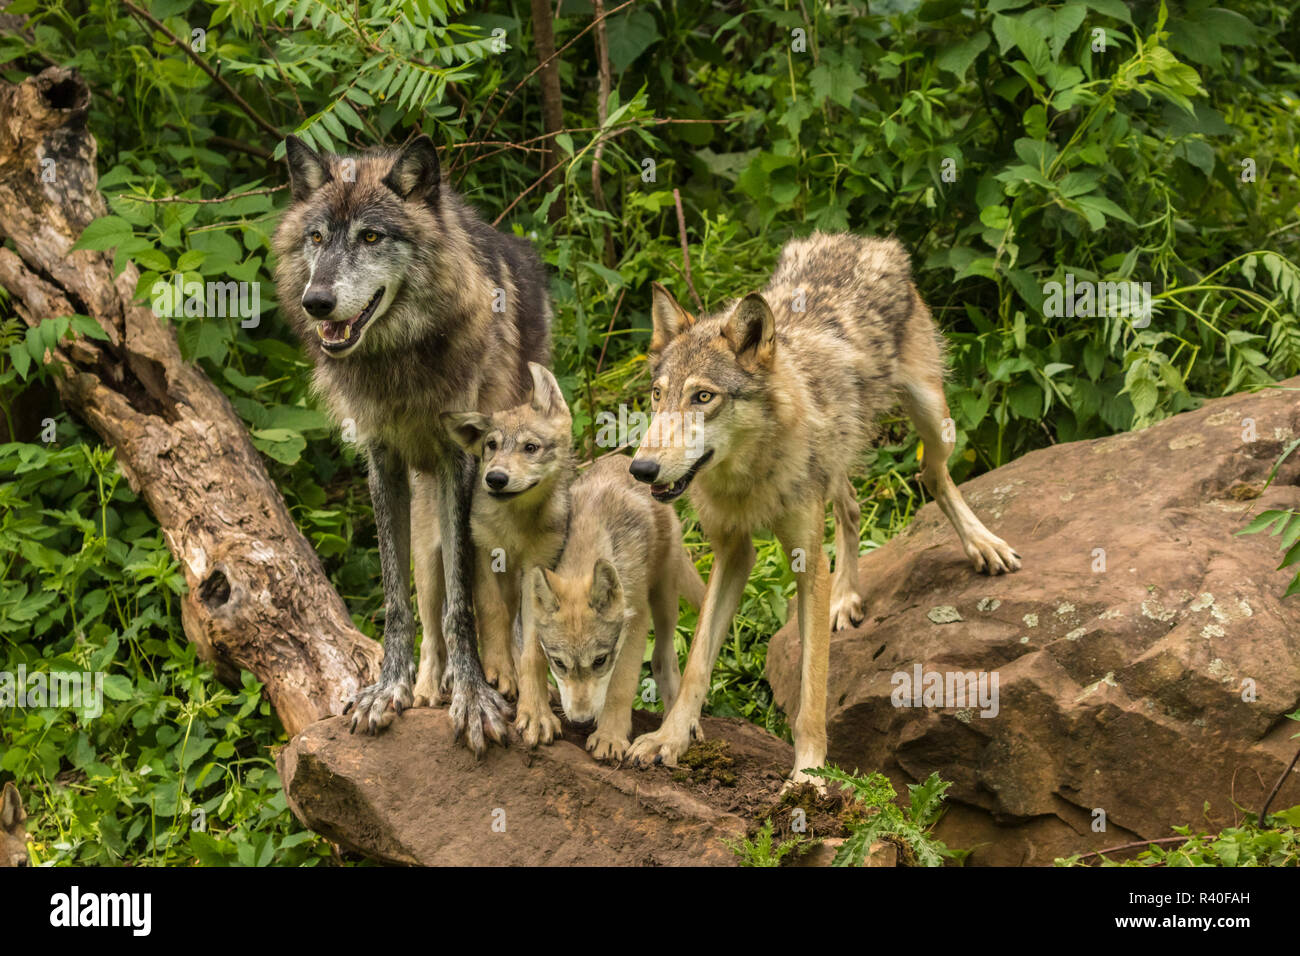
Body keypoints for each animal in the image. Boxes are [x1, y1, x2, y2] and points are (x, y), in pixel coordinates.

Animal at [273, 134, 551, 752]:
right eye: (317, 238)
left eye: (371, 237)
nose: (316, 301)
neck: (396, 359)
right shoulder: (382, 462)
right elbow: (398, 600)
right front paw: (389, 689)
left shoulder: (462, 462)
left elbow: (464, 605)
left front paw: (475, 698)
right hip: (426, 528)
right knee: (429, 600)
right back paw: (428, 686)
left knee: (497, 600)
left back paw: (502, 675)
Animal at [432, 362, 576, 704]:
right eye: (491, 445)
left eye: (530, 448)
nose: (495, 478)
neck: (516, 525)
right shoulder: (484, 556)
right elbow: (491, 613)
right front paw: (498, 672)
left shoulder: (537, 567)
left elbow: (531, 640)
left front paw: (530, 692)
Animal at [525, 454, 705, 761]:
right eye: (559, 664)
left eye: (599, 661)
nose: (581, 722)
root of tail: (622, 458)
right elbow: (530, 659)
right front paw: (536, 715)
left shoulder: (636, 620)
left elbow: (621, 684)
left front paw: (610, 737)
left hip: (664, 601)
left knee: (664, 660)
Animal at [626, 232, 1020, 785]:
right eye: (657, 396)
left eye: (703, 397)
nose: (641, 470)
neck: (749, 475)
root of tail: (863, 240)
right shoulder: (733, 552)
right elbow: (698, 661)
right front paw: (670, 738)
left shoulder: (805, 560)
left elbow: (812, 686)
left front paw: (809, 774)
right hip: (838, 462)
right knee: (852, 509)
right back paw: (846, 597)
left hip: (933, 419)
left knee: (933, 476)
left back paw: (983, 545)